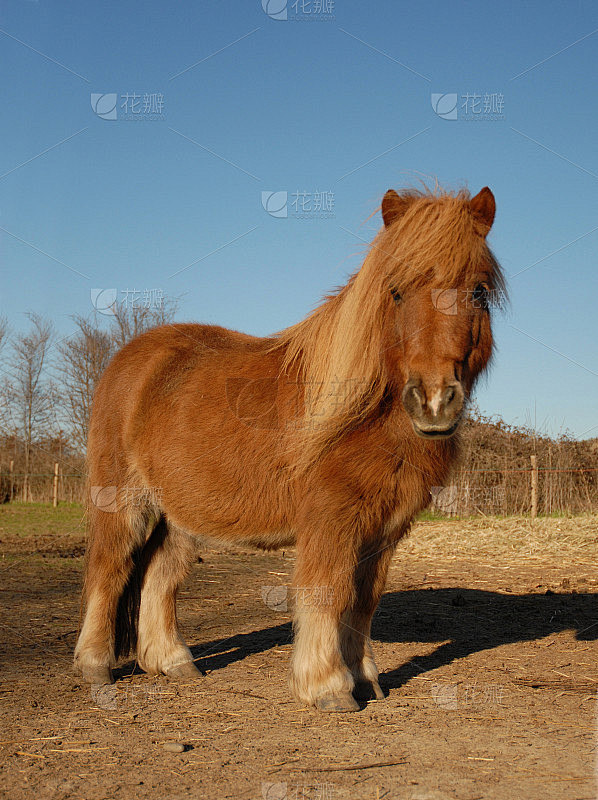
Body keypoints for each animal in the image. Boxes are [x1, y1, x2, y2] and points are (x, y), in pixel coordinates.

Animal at [74, 185, 505, 712]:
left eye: (478, 291)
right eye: (396, 291)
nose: (434, 401)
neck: (361, 412)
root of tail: (131, 359)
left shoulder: (384, 529)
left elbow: (363, 602)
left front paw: (365, 678)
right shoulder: (330, 520)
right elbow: (329, 593)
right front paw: (328, 686)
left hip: (180, 514)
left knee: (160, 574)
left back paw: (175, 663)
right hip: (123, 501)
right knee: (109, 570)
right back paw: (95, 666)